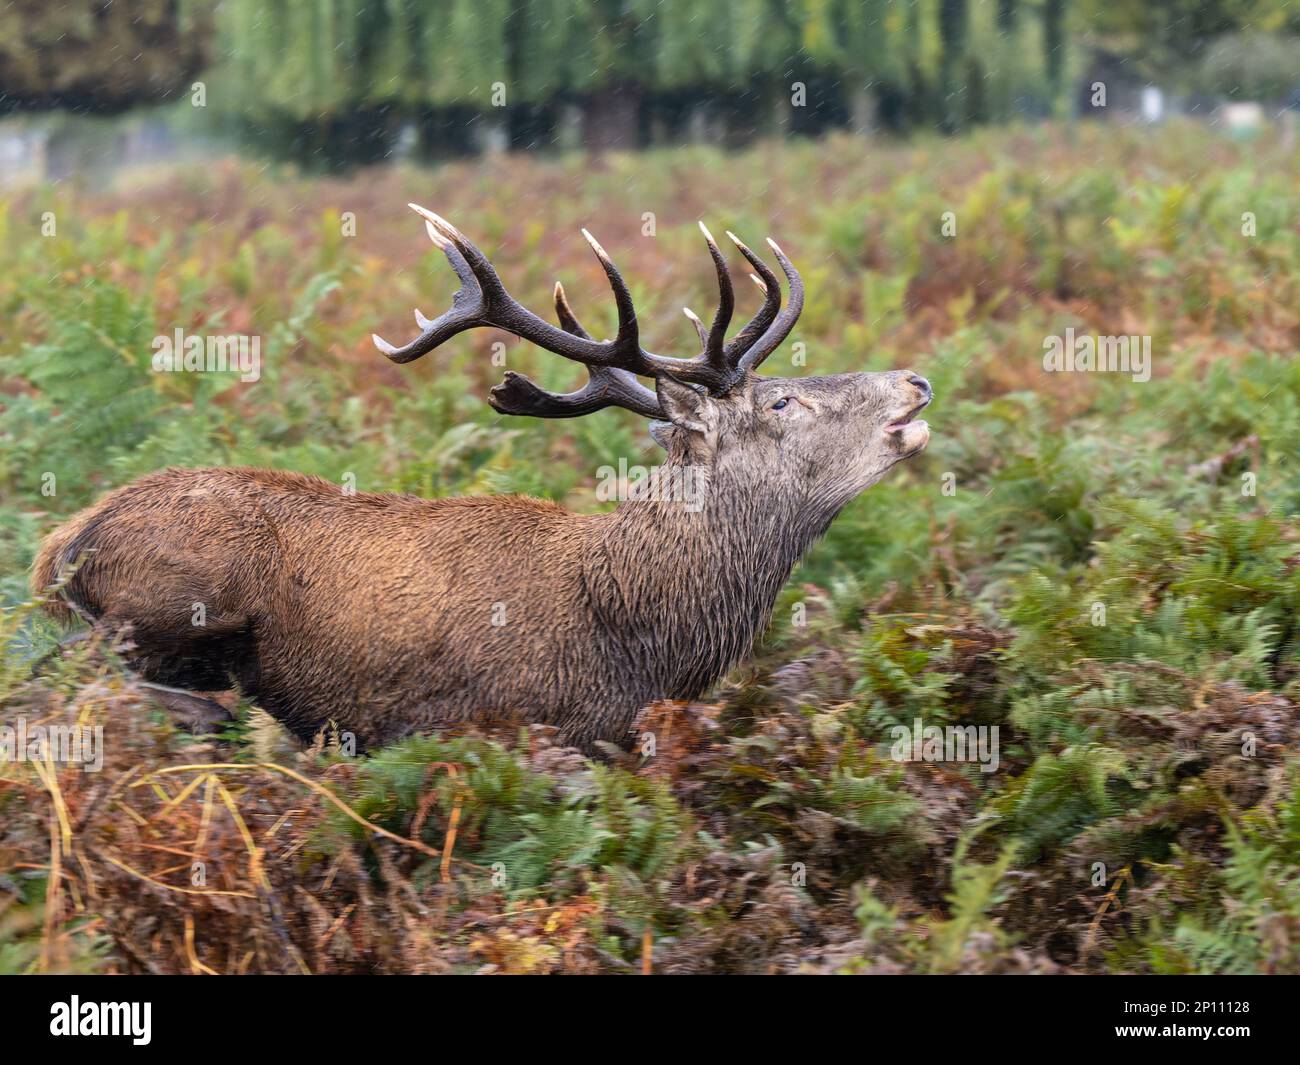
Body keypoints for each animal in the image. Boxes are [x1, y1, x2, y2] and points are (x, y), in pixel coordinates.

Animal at [31, 206, 932, 754]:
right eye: (781, 400)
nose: (916, 381)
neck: (643, 638)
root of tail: (63, 542)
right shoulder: (531, 721)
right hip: (183, 589)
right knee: (81, 676)